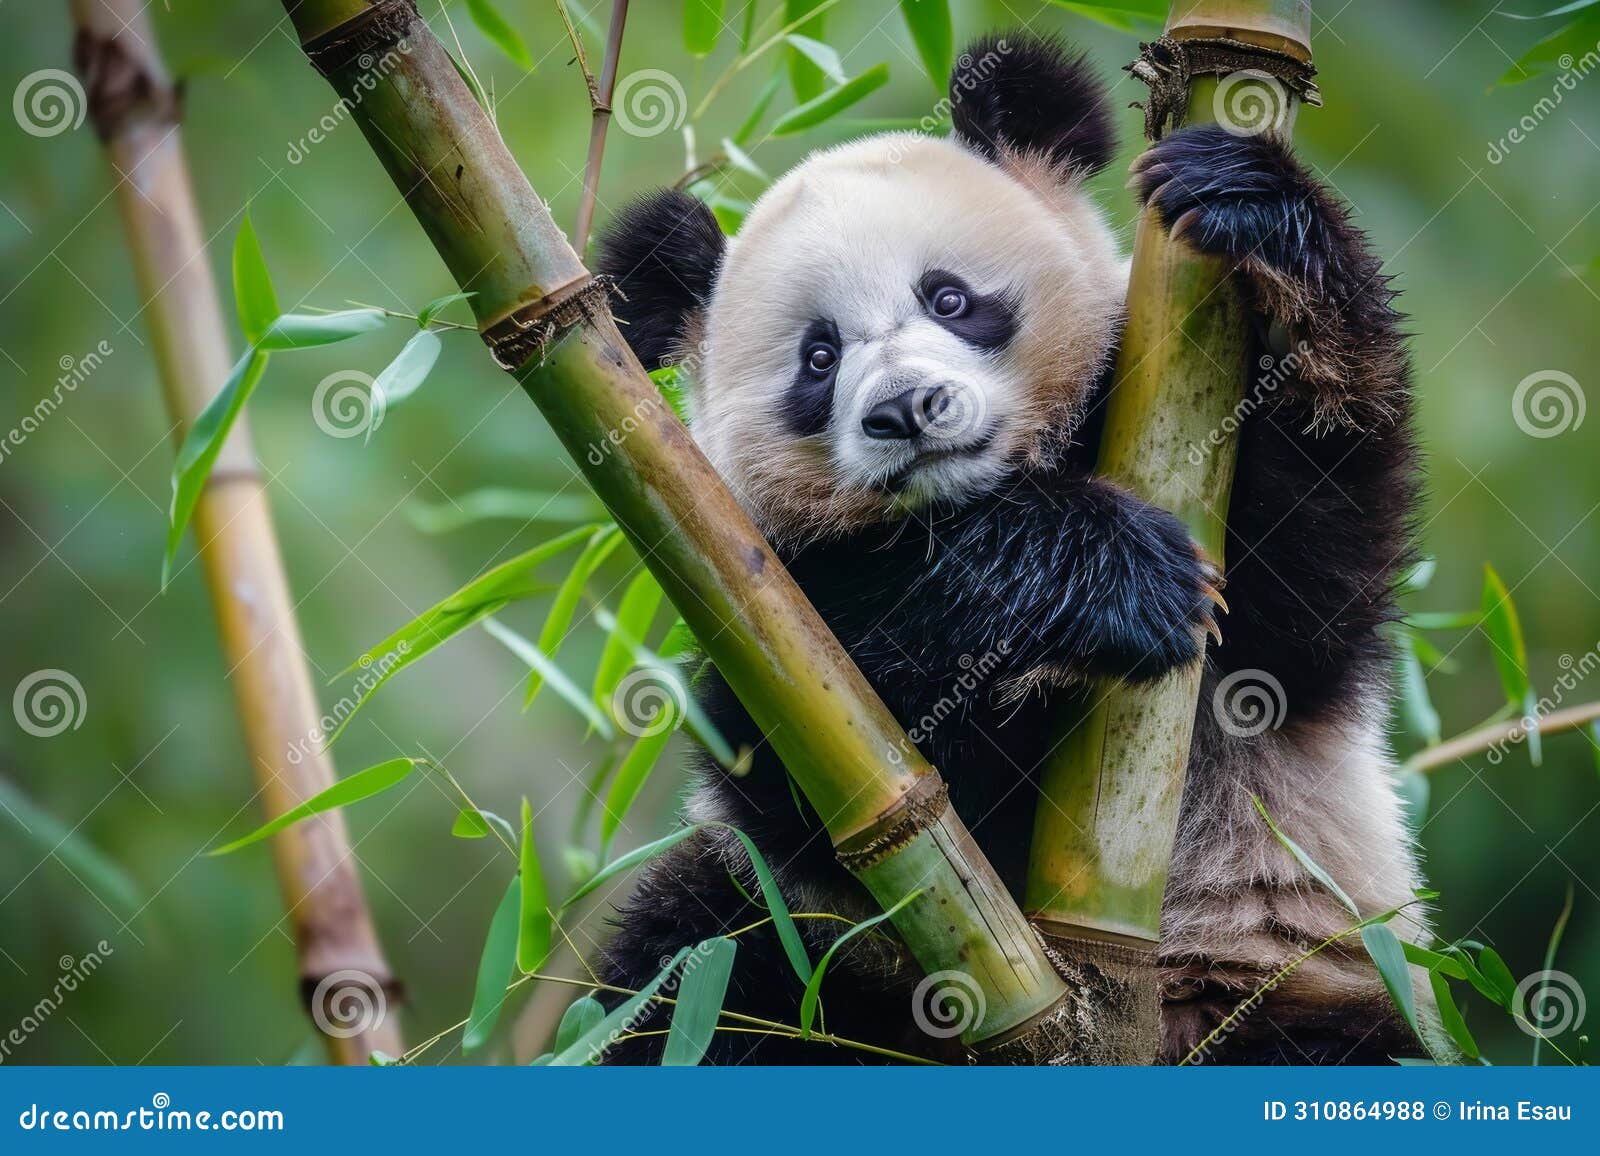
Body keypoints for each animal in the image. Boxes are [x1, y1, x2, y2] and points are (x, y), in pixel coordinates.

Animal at [591, 30, 1433, 1065]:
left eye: (950, 298)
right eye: (818, 357)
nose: (907, 409)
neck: (980, 492)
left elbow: (1311, 572)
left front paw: (1256, 209)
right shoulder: (768, 616)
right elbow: (820, 750)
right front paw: (1115, 578)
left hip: (1286, 981)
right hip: (802, 945)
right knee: (683, 980)